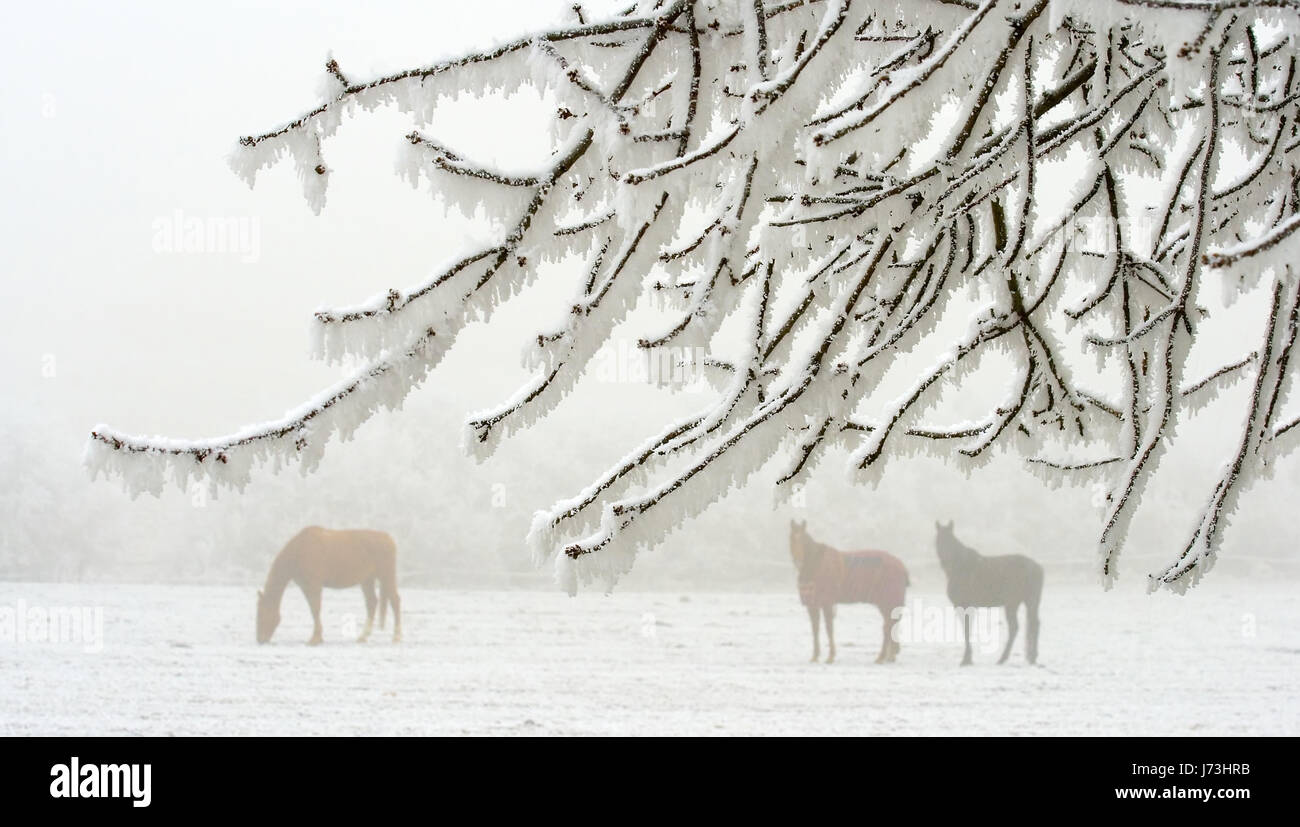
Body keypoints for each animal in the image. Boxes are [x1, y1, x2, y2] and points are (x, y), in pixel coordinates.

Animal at [256, 526, 401, 645]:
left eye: (261, 613)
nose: (260, 639)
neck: (300, 550)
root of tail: (388, 538)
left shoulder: (314, 585)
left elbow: (315, 609)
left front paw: (315, 638)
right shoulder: (305, 587)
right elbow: (314, 609)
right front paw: (318, 637)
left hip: (386, 576)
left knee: (395, 601)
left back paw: (397, 636)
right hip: (367, 580)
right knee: (372, 603)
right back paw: (363, 636)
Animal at [789, 520, 909, 664]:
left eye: (804, 539)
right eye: (791, 539)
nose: (798, 562)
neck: (817, 565)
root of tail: (901, 567)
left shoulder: (827, 603)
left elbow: (829, 628)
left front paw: (830, 656)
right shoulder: (813, 605)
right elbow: (815, 629)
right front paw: (815, 656)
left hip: (886, 602)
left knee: (887, 627)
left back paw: (881, 657)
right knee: (890, 625)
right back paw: (889, 656)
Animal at [934, 520, 1042, 666]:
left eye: (950, 540)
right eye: (938, 541)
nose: (946, 560)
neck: (960, 568)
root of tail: (1037, 567)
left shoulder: (964, 606)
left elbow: (966, 630)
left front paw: (966, 659)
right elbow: (967, 630)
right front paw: (968, 658)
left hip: (1012, 604)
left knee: (1015, 628)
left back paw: (1003, 658)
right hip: (1029, 602)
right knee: (1034, 624)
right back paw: (1032, 657)